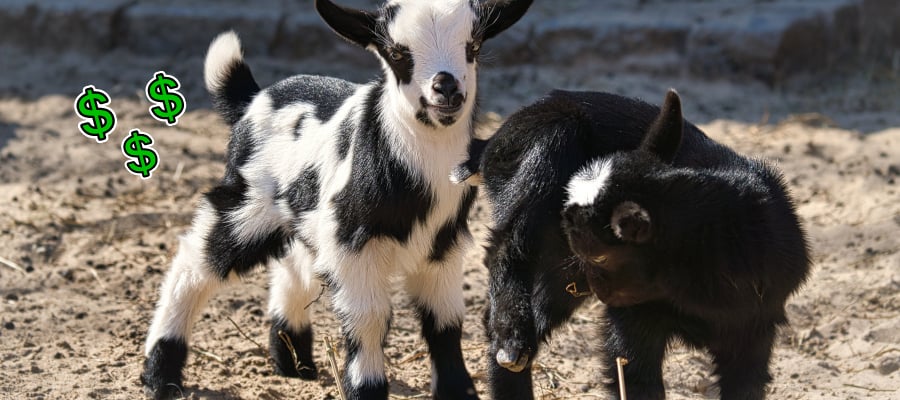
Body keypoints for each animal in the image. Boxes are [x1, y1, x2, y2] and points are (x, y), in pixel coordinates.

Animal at [140, 1, 532, 399]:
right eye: (396, 52)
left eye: (474, 46)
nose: (447, 87)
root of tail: (253, 100)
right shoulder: (352, 243)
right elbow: (369, 318)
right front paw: (366, 389)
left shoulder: (443, 244)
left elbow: (445, 320)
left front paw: (458, 390)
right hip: (247, 205)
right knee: (196, 262)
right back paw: (160, 373)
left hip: (306, 217)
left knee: (293, 266)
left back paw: (294, 362)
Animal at [455, 90, 810, 399]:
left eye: (600, 255)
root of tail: (491, 143)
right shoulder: (635, 314)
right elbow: (635, 374)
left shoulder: (755, 324)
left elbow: (746, 385)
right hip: (542, 154)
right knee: (511, 242)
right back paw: (511, 342)